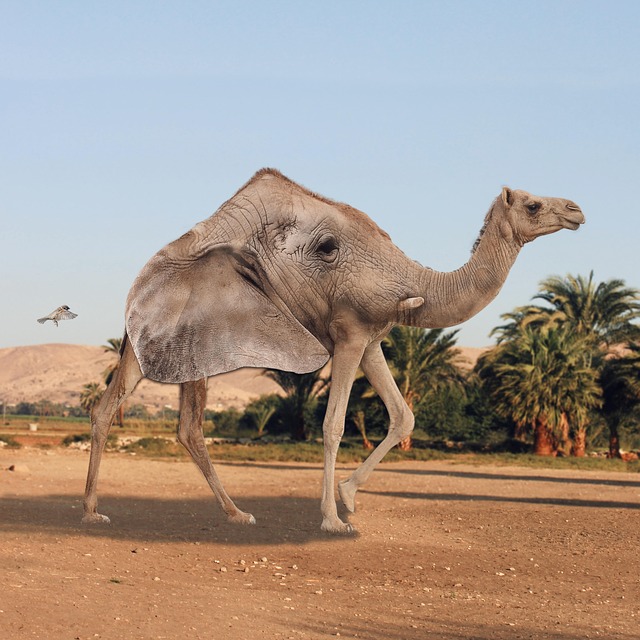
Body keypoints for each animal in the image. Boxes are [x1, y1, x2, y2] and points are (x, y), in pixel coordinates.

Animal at [82, 168, 584, 534]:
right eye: (533, 203)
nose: (576, 209)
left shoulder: (371, 339)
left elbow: (404, 415)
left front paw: (347, 497)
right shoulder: (349, 330)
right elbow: (333, 424)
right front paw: (332, 519)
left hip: (171, 343)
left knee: (154, 419)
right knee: (163, 418)